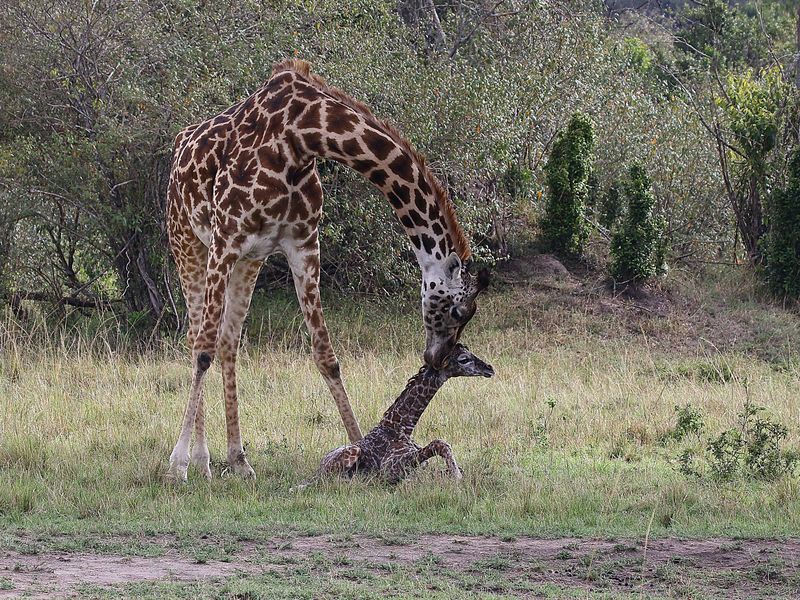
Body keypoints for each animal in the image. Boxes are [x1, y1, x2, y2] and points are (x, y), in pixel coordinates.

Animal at [301, 344, 494, 486]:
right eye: (464, 359)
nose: (490, 368)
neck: (402, 425)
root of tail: (317, 470)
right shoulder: (390, 469)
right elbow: (439, 443)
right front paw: (456, 475)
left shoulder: (420, 467)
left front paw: (455, 472)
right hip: (350, 453)